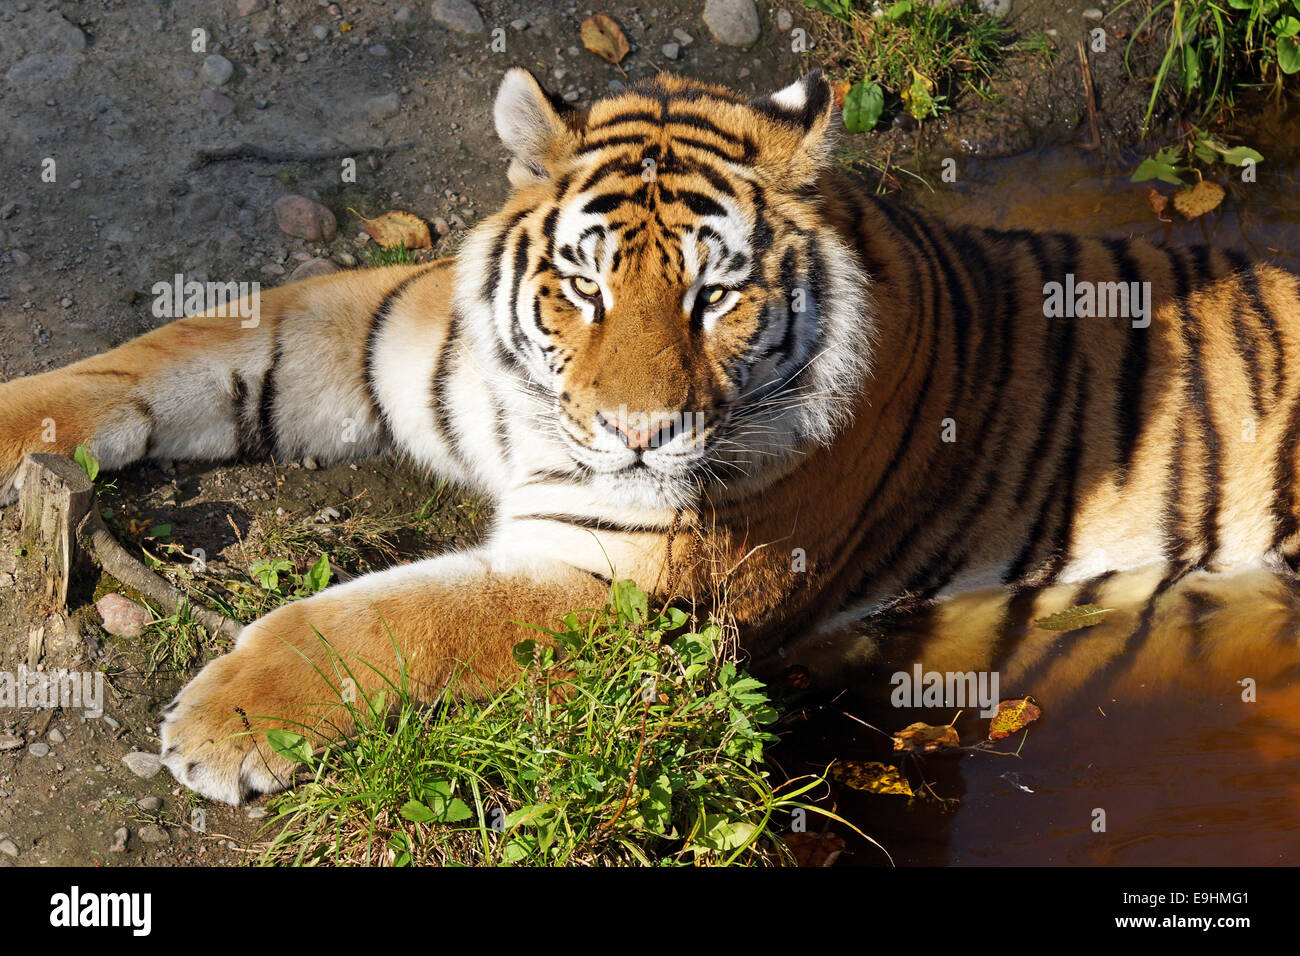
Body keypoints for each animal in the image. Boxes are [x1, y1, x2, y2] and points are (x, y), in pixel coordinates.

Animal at [1, 69, 1298, 807]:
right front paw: (21, 415)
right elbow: (183, 345)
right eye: (583, 282)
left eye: (715, 296)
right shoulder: (361, 332)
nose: (636, 434)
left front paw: (224, 721)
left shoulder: (626, 578)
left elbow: (388, 617)